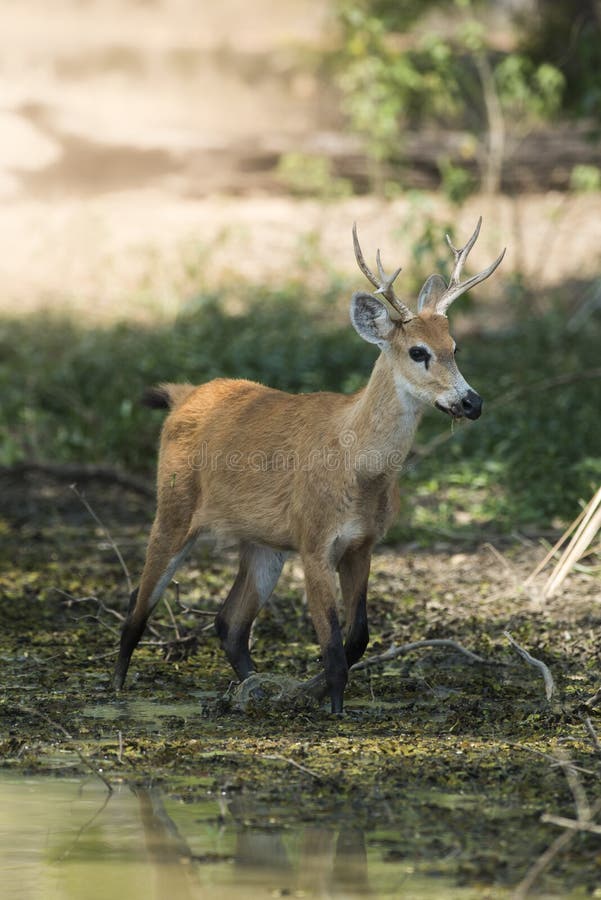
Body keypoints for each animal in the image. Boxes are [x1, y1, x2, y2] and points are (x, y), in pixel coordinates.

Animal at [113, 218, 505, 713]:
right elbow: (333, 644)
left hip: (264, 543)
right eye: (419, 352)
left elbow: (357, 638)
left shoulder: (362, 544)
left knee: (229, 622)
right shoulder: (315, 539)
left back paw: (257, 689)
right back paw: (116, 686)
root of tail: (182, 396)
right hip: (174, 507)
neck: (360, 468)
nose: (472, 403)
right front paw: (335, 712)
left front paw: (316, 693)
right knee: (138, 602)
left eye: (455, 347)